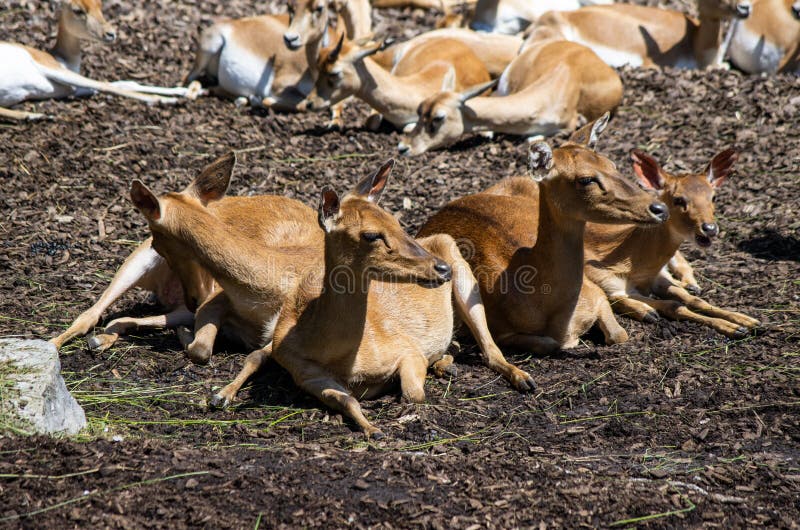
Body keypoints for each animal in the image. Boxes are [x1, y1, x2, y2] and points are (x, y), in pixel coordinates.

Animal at [0, 0, 177, 121]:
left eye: (100, 4)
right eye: (78, 10)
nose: (110, 33)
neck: (61, 58)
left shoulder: (70, 89)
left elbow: (124, 83)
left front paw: (183, 91)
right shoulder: (52, 68)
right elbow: (104, 85)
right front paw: (166, 99)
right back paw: (36, 116)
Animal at [207, 160, 534, 438]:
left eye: (397, 222)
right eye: (370, 235)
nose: (441, 268)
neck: (341, 357)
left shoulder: (407, 348)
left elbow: (414, 393)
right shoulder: (305, 373)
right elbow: (347, 399)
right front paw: (372, 429)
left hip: (465, 276)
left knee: (490, 348)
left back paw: (522, 378)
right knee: (257, 354)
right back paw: (219, 396)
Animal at [416, 115, 670, 353]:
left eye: (612, 164)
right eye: (585, 179)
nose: (659, 208)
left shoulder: (594, 295)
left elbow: (618, 333)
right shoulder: (500, 328)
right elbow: (550, 344)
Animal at [583, 149, 760, 338]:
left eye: (714, 197)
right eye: (678, 199)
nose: (710, 228)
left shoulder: (656, 277)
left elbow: (694, 300)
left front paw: (748, 321)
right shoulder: (609, 284)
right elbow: (673, 305)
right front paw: (736, 328)